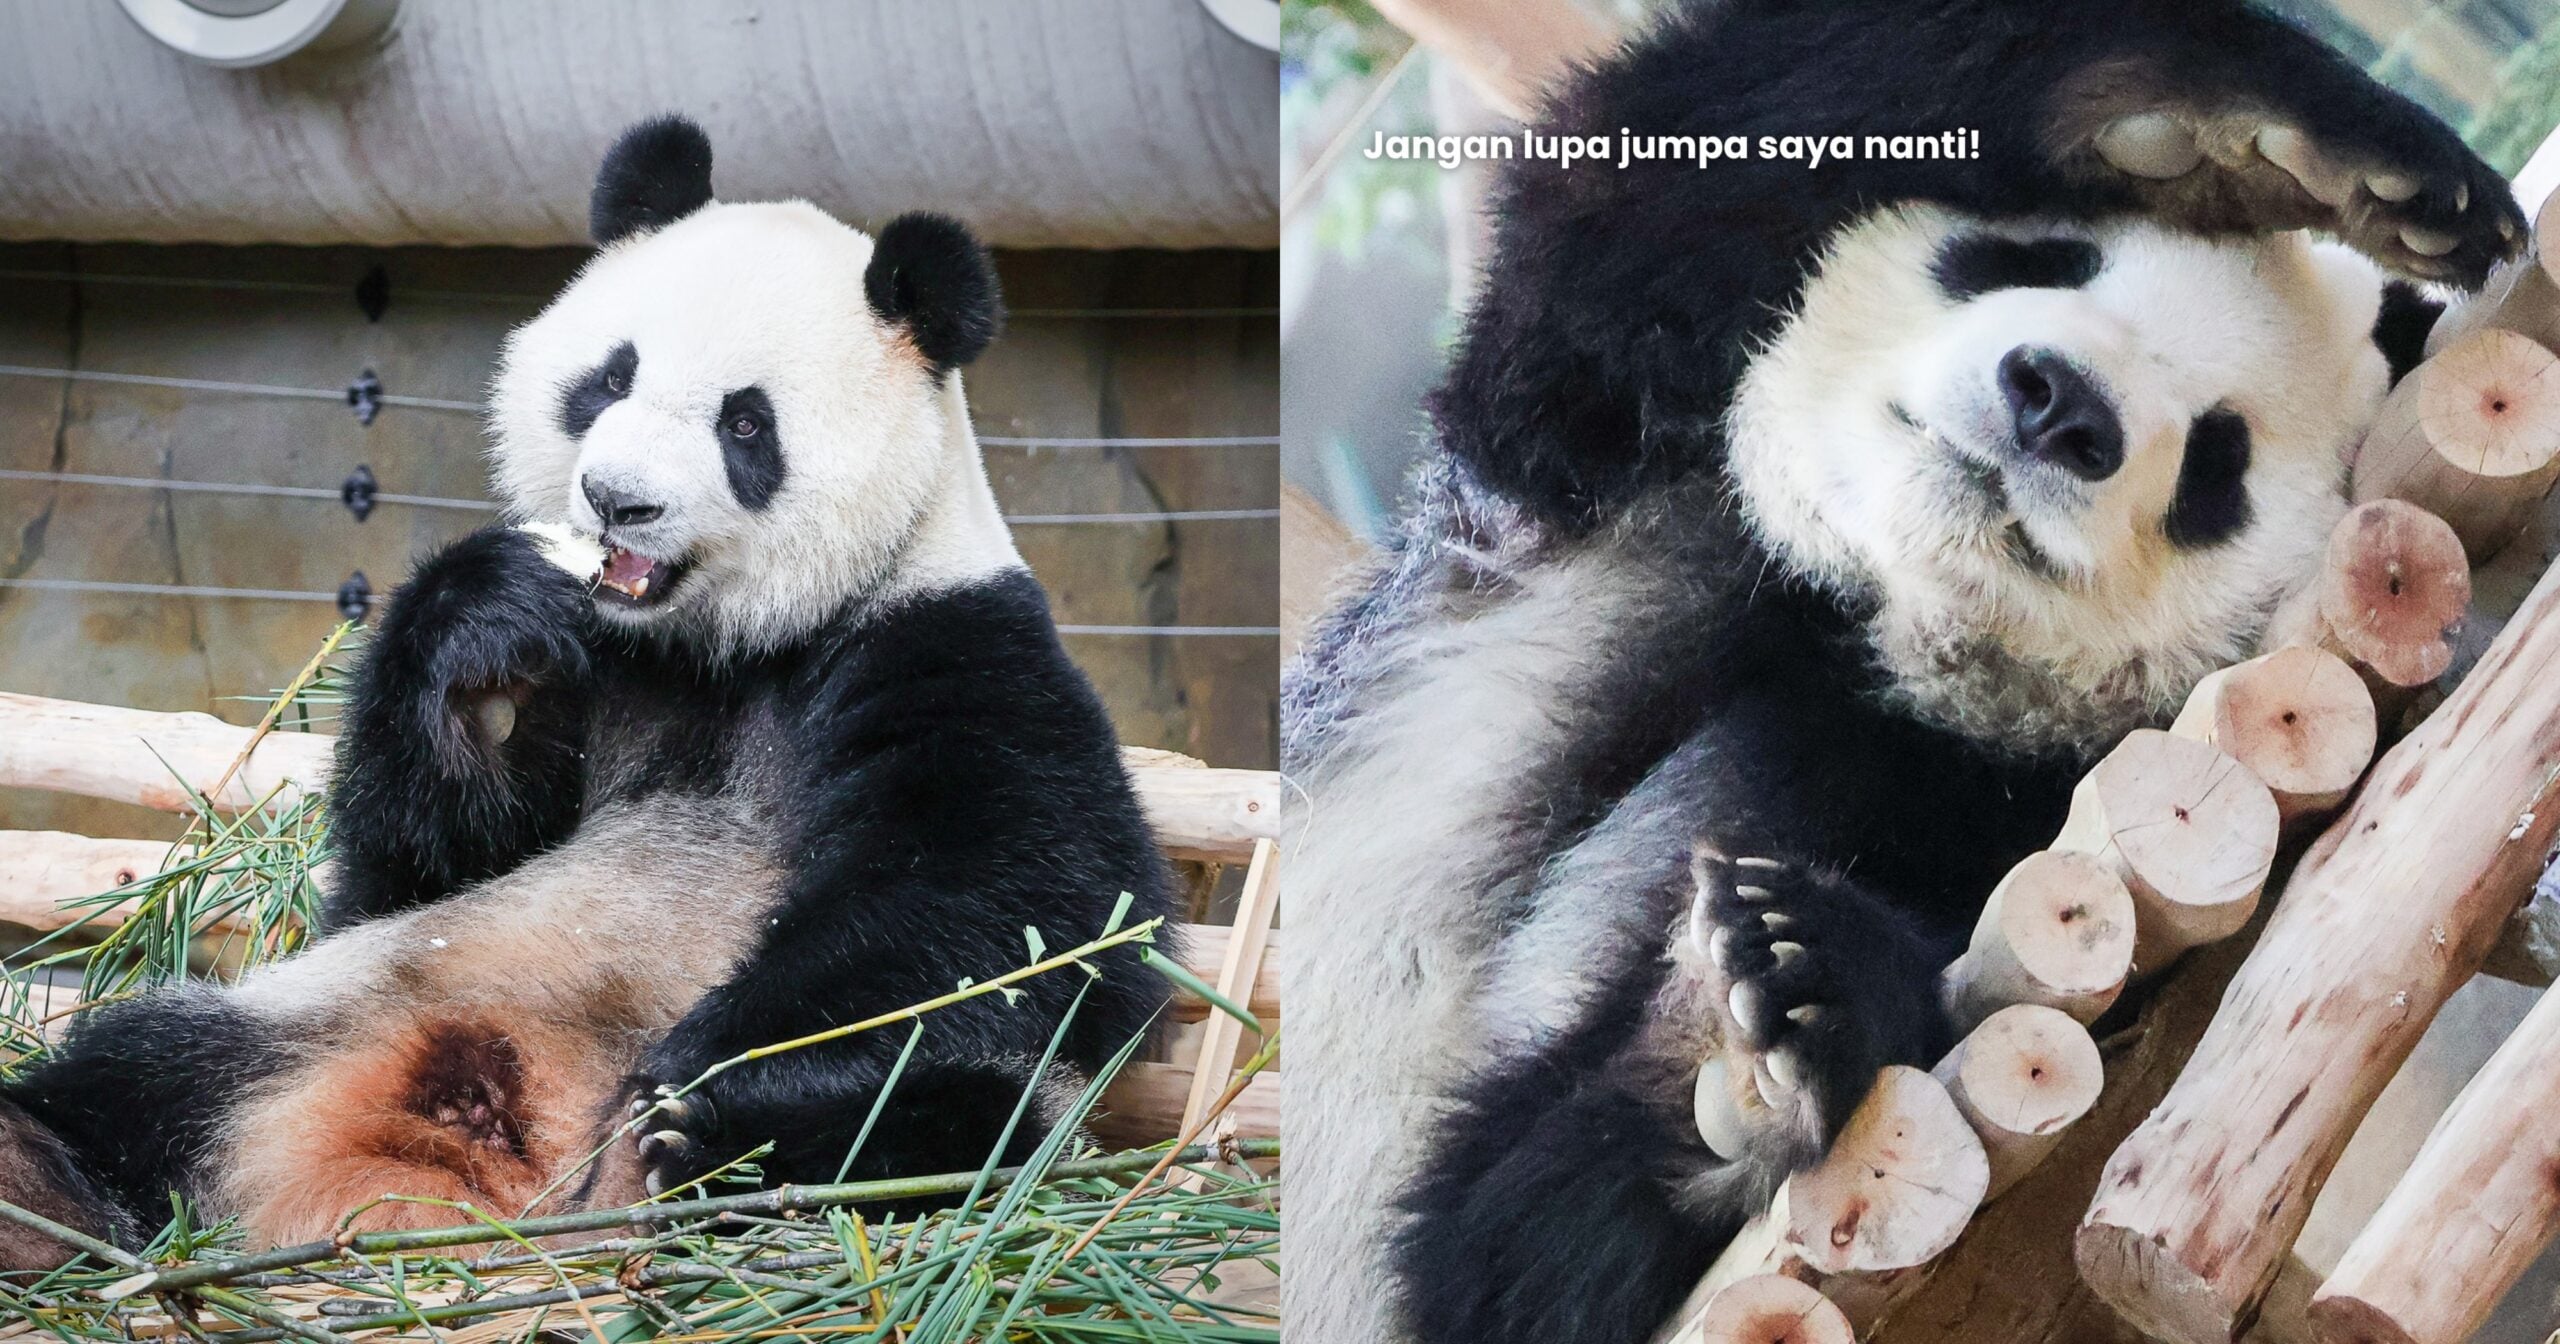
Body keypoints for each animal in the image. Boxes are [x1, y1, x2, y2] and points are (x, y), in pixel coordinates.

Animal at [0, 115, 1174, 1265]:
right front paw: (490, 635)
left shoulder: (950, 645)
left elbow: (1017, 916)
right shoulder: (601, 671)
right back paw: (40, 1187)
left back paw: (708, 1147)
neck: (714, 645)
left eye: (746, 425)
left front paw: (700, 1072)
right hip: (342, 1007)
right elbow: (410, 868)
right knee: (147, 1068)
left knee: (950, 1126)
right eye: (609, 379)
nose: (617, 501)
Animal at [1279, 2, 2524, 1342]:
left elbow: (1515, 1283)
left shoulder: (2000, 814)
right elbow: (1664, 177)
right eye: (2035, 259)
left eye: (2217, 461)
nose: (2056, 404)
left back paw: (1738, 1053)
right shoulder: (1590, 469)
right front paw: (2286, 149)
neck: (1854, 607)